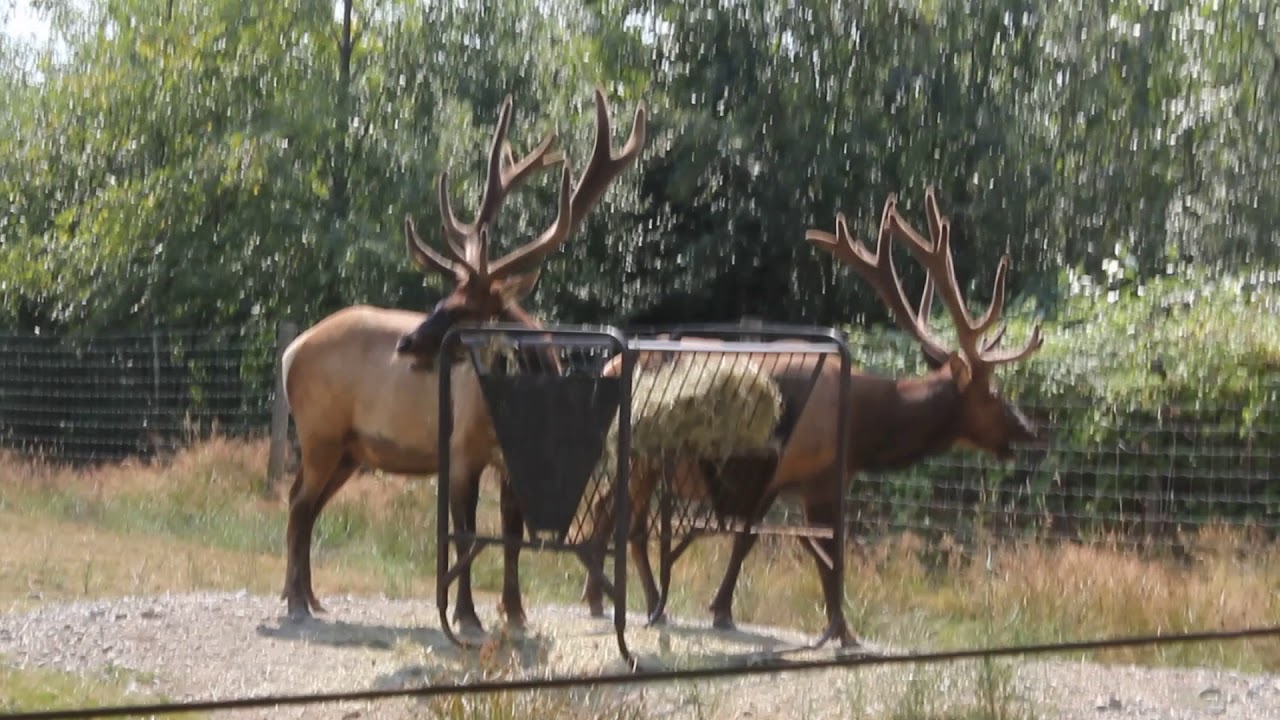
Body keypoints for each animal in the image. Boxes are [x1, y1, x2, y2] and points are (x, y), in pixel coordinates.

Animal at [279, 88, 645, 637]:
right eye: (442, 298)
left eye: (464, 309)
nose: (406, 343)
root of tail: (290, 351)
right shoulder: (461, 452)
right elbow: (467, 536)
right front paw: (467, 616)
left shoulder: (514, 463)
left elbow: (511, 535)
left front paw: (515, 613)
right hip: (319, 431)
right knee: (301, 505)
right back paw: (298, 603)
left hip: (347, 449)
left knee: (304, 503)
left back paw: (307, 597)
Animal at [580, 187, 1044, 649]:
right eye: (993, 394)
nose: (1031, 430)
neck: (861, 431)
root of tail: (607, 367)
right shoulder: (816, 481)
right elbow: (824, 555)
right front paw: (844, 632)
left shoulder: (779, 483)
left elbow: (748, 541)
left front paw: (723, 610)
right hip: (639, 456)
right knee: (623, 519)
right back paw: (636, 602)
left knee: (611, 513)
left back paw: (605, 600)